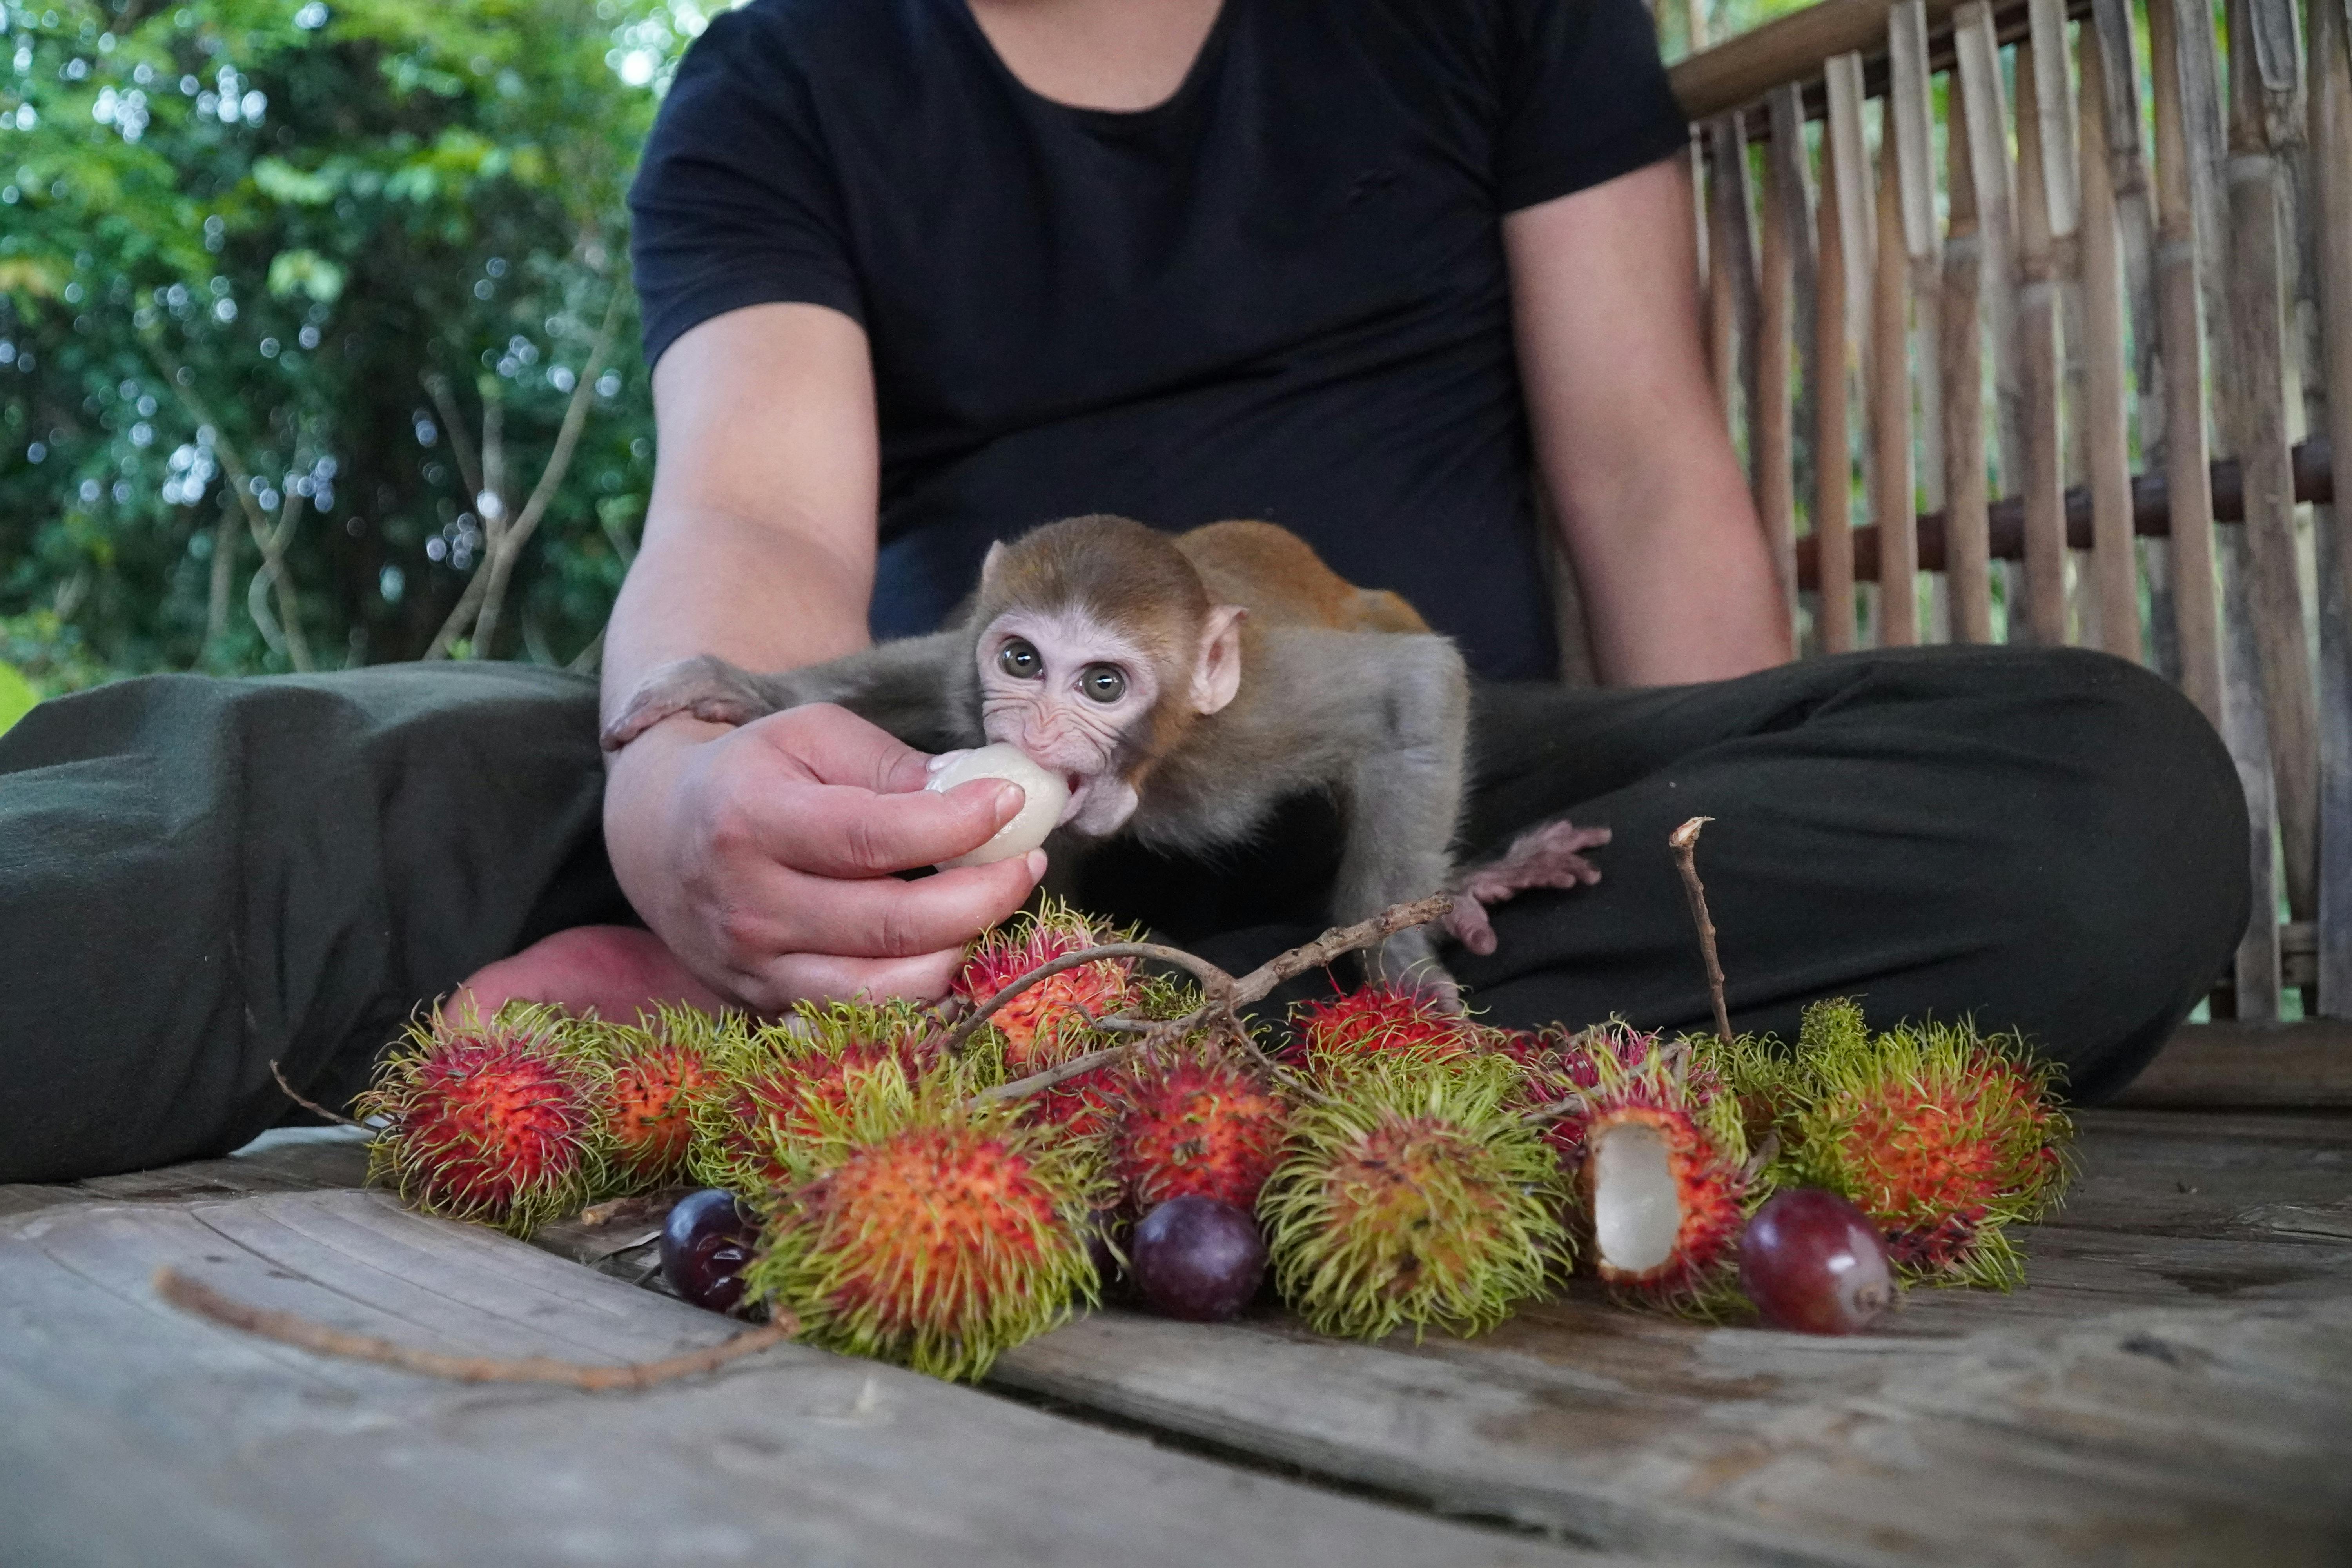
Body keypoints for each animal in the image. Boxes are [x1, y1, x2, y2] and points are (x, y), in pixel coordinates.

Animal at [602, 515, 1609, 998]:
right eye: (1021, 662)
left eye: (1100, 684)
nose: (1038, 731)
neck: (1150, 777)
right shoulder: (967, 669)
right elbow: (924, 666)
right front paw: (729, 686)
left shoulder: (1250, 719)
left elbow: (1416, 688)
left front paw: (1400, 963)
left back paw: (1481, 885)